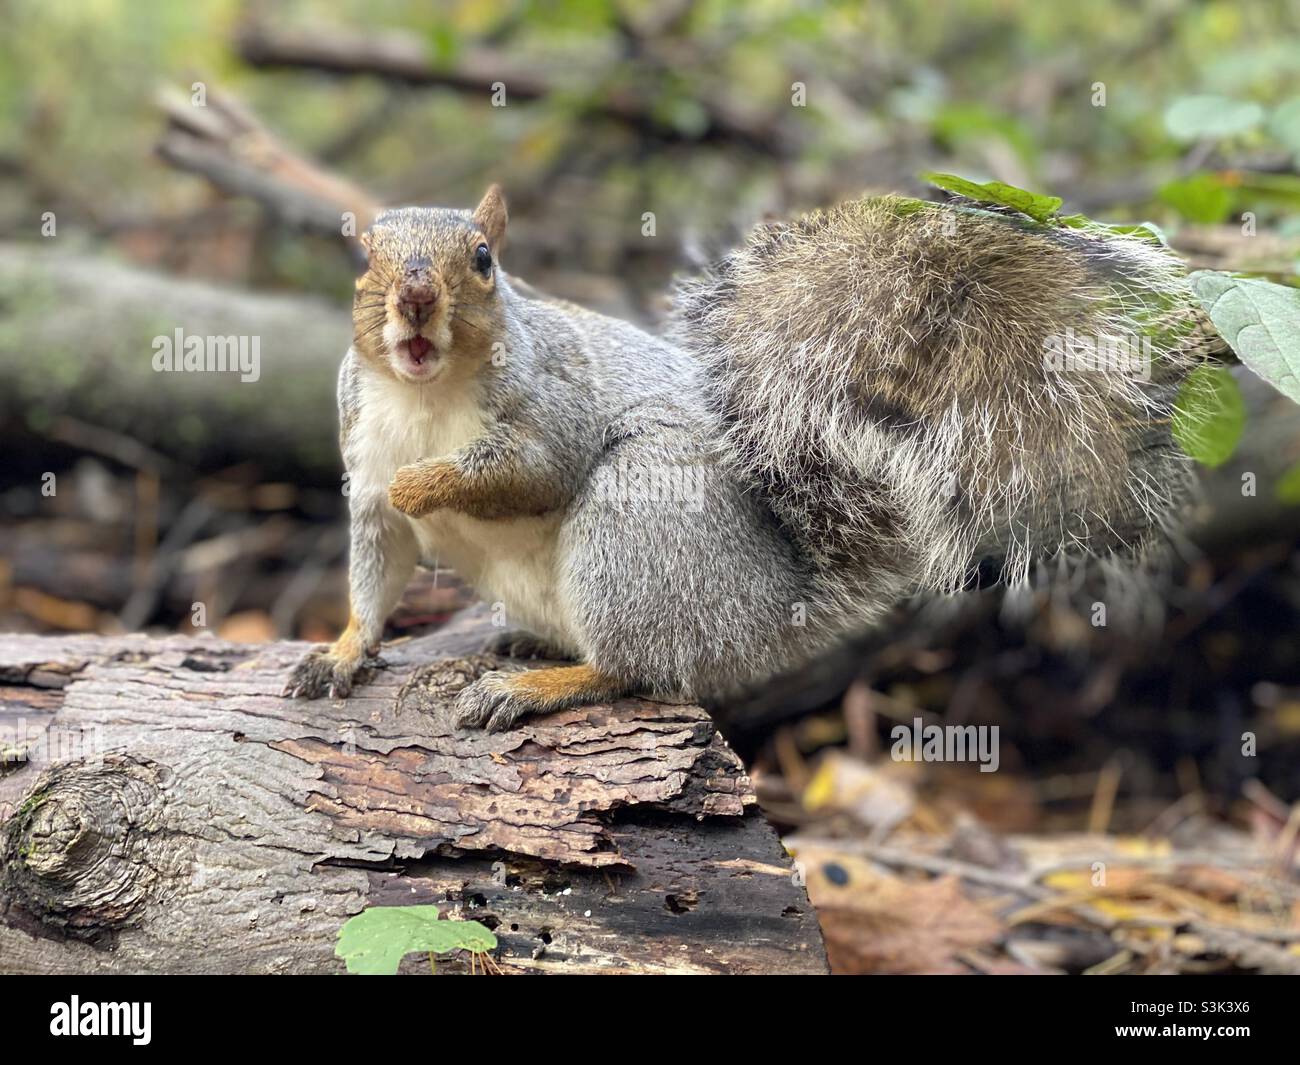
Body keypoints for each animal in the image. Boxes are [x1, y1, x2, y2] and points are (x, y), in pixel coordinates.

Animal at [285, 185, 1204, 731]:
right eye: (365, 257)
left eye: (483, 259)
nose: (414, 295)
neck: (429, 396)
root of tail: (777, 608)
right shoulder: (361, 461)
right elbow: (375, 569)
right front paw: (342, 650)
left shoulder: (552, 405)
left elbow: (530, 472)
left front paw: (429, 481)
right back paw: (528, 647)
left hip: (637, 519)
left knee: (639, 669)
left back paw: (544, 685)